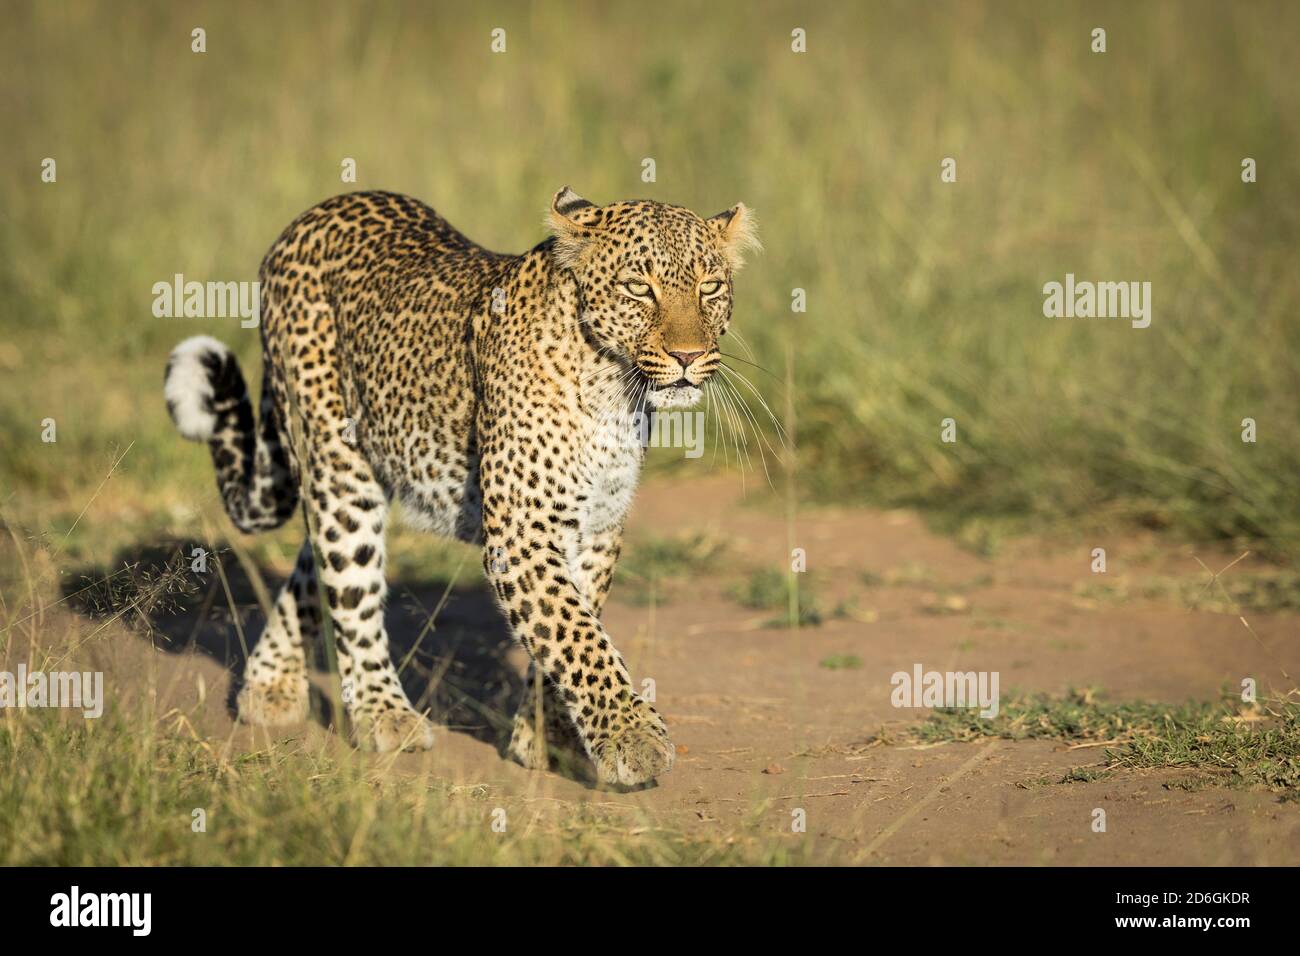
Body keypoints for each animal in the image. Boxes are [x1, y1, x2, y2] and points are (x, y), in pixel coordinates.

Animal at [163, 187, 757, 786]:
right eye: (638, 287)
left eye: (710, 287)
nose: (687, 357)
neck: (611, 387)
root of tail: (312, 215)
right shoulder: (521, 532)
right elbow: (577, 636)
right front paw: (631, 737)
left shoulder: (597, 528)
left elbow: (573, 625)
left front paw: (546, 737)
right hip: (337, 461)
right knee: (350, 585)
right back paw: (384, 714)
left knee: (315, 565)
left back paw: (270, 685)